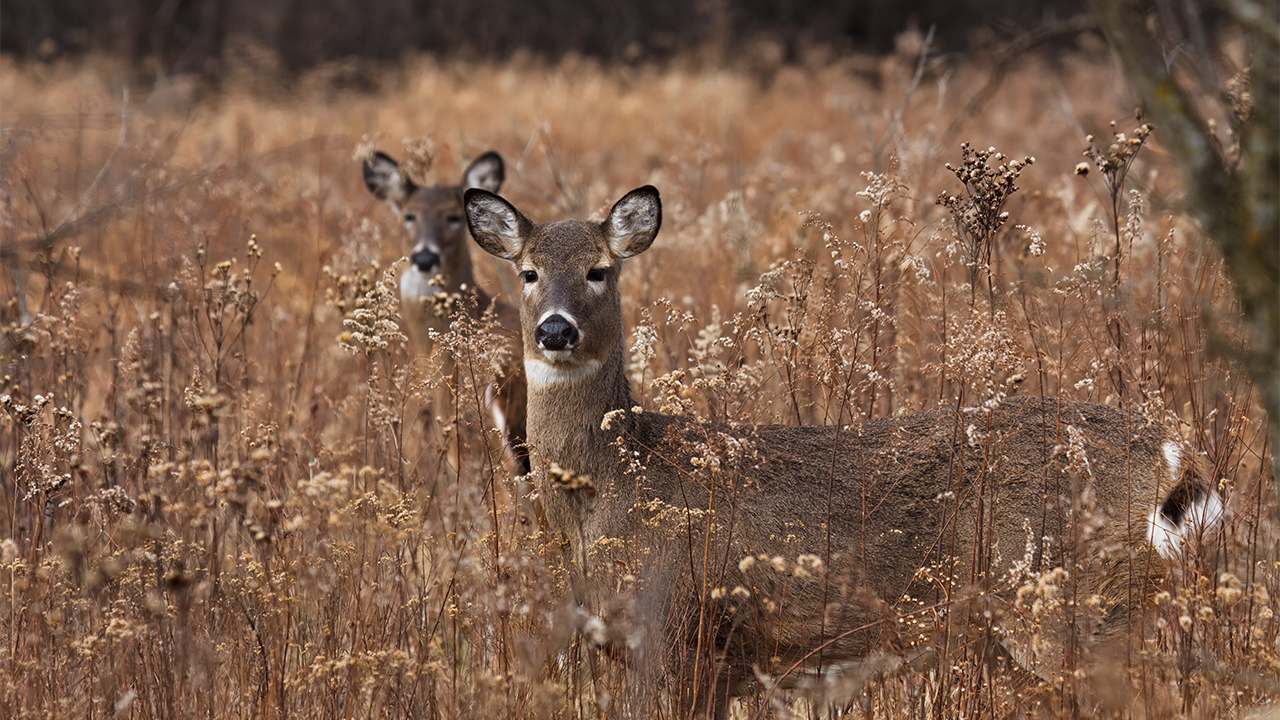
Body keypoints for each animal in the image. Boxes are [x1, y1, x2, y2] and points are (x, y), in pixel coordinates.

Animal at [463, 184, 1225, 716]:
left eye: (599, 270)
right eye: (528, 271)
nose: (555, 331)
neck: (611, 486)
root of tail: (1176, 455)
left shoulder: (675, 632)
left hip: (1070, 601)